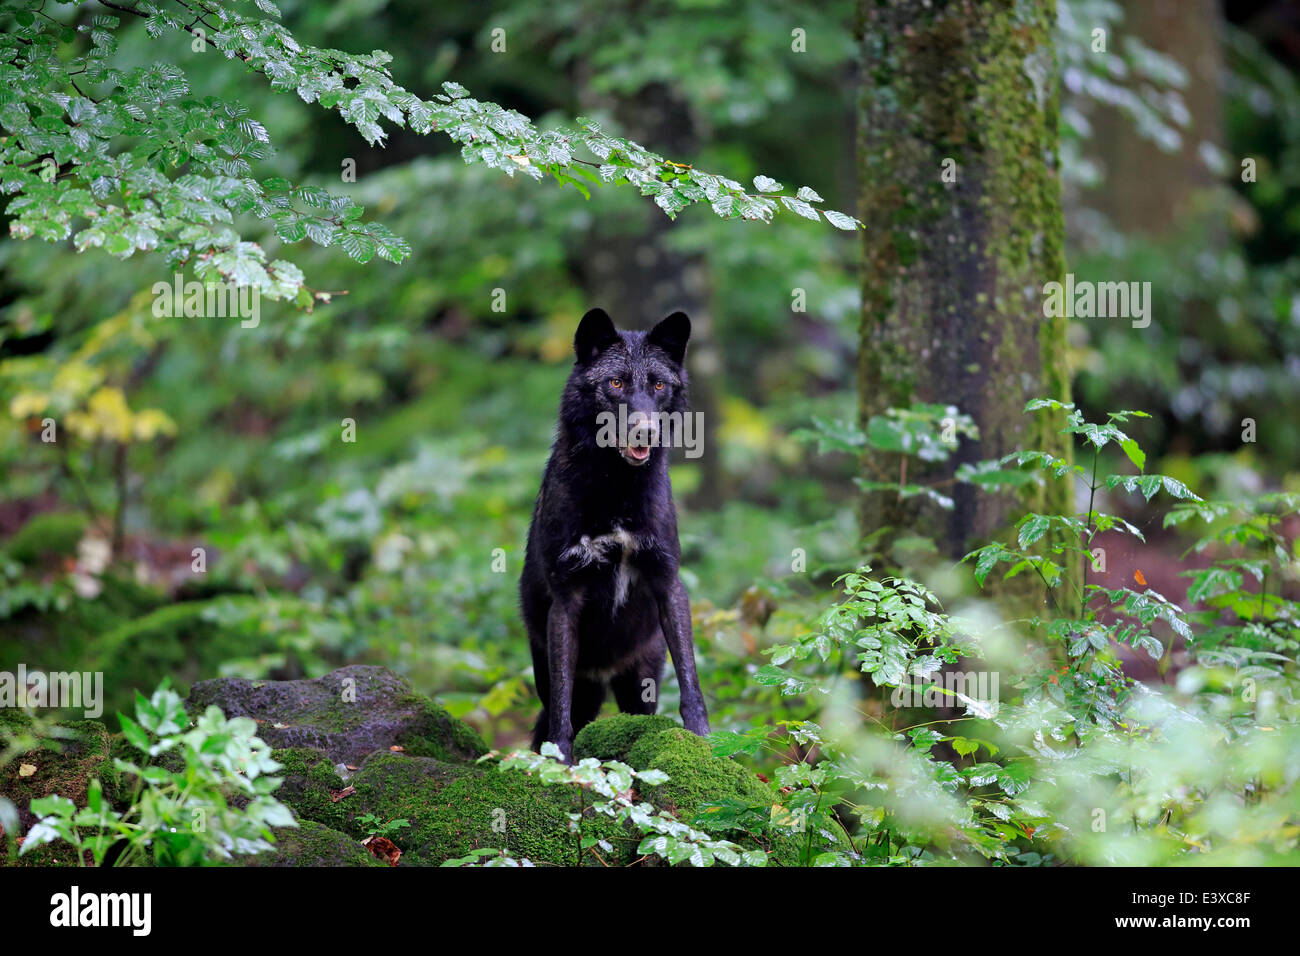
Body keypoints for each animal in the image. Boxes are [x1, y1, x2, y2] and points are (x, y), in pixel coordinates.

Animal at [519, 308, 709, 762]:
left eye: (657, 384)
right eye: (617, 383)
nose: (646, 431)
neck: (617, 491)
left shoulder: (668, 581)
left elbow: (691, 683)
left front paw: (702, 741)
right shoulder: (567, 597)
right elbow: (562, 710)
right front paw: (563, 760)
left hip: (641, 680)